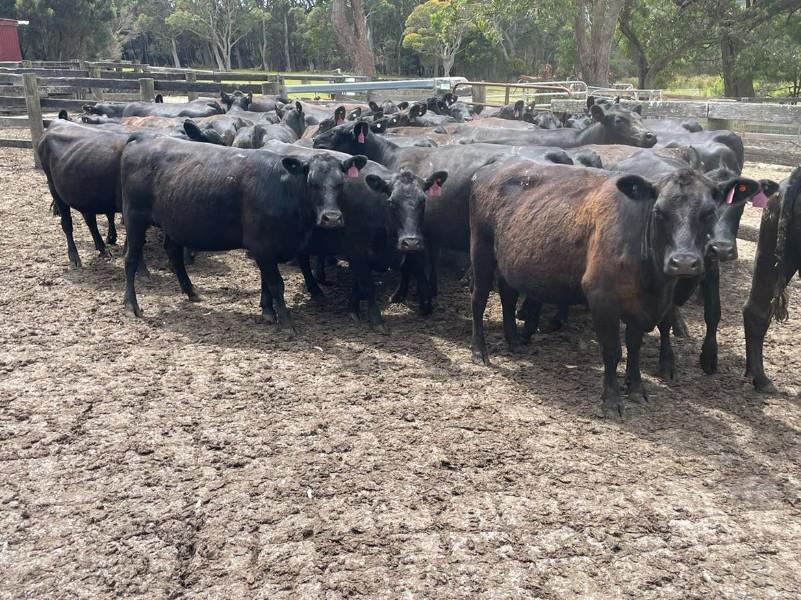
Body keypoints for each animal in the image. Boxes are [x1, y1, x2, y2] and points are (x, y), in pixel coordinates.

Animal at [120, 136, 367, 335]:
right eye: (312, 183)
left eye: (340, 183)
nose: (332, 218)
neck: (283, 189)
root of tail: (141, 139)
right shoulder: (262, 245)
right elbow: (276, 283)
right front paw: (286, 322)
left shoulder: (269, 248)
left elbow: (266, 281)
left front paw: (267, 311)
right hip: (134, 219)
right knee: (131, 259)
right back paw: (131, 305)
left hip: (172, 222)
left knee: (173, 253)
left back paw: (190, 291)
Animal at [469, 161, 759, 419]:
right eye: (658, 211)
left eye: (709, 212)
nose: (684, 262)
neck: (653, 281)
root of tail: (490, 168)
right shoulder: (602, 299)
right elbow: (612, 350)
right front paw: (612, 400)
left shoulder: (641, 308)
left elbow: (634, 346)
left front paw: (637, 388)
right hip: (481, 250)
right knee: (479, 300)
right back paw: (479, 351)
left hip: (508, 260)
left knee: (508, 296)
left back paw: (515, 341)